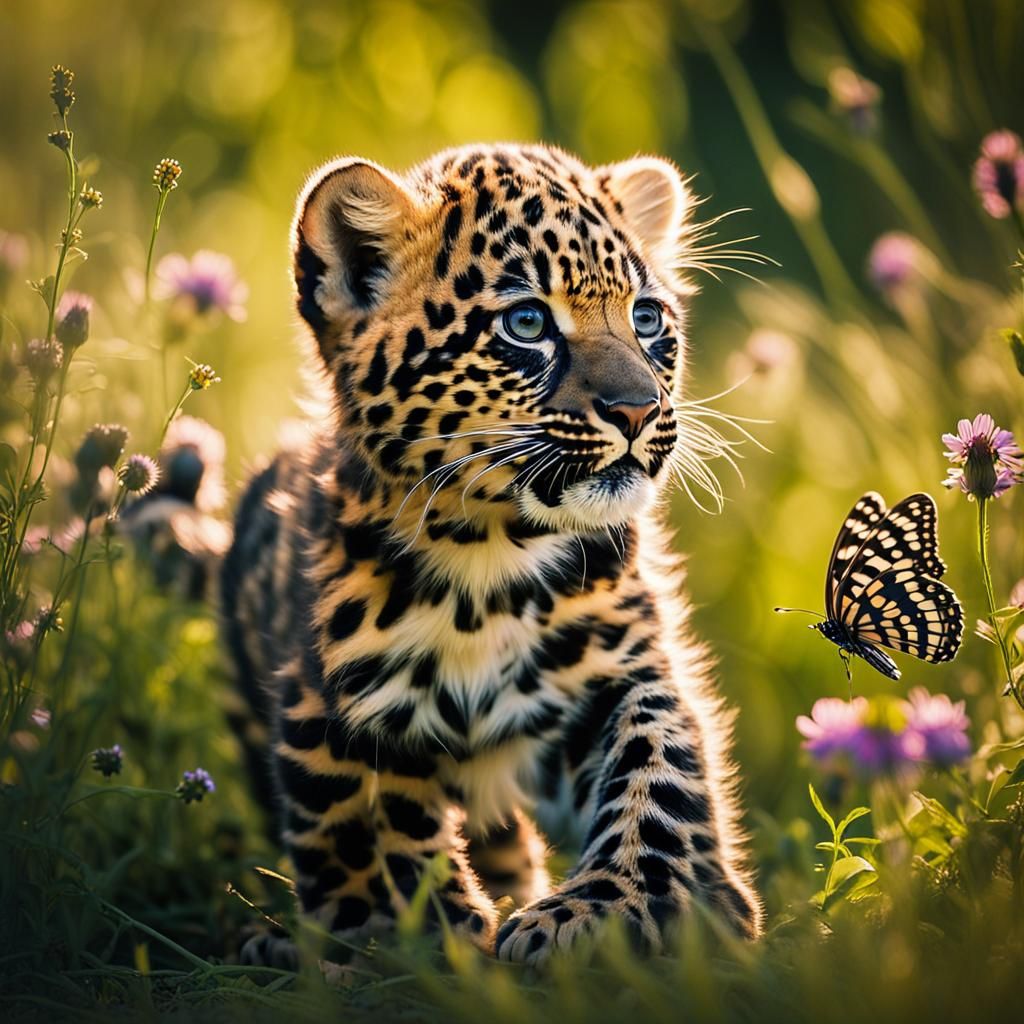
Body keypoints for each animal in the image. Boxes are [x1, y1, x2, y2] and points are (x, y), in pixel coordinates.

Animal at [220, 142, 763, 968]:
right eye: (528, 322)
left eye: (646, 318)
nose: (640, 411)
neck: (489, 560)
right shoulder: (336, 703)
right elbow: (370, 819)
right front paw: (410, 934)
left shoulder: (616, 666)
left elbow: (658, 760)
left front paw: (607, 911)